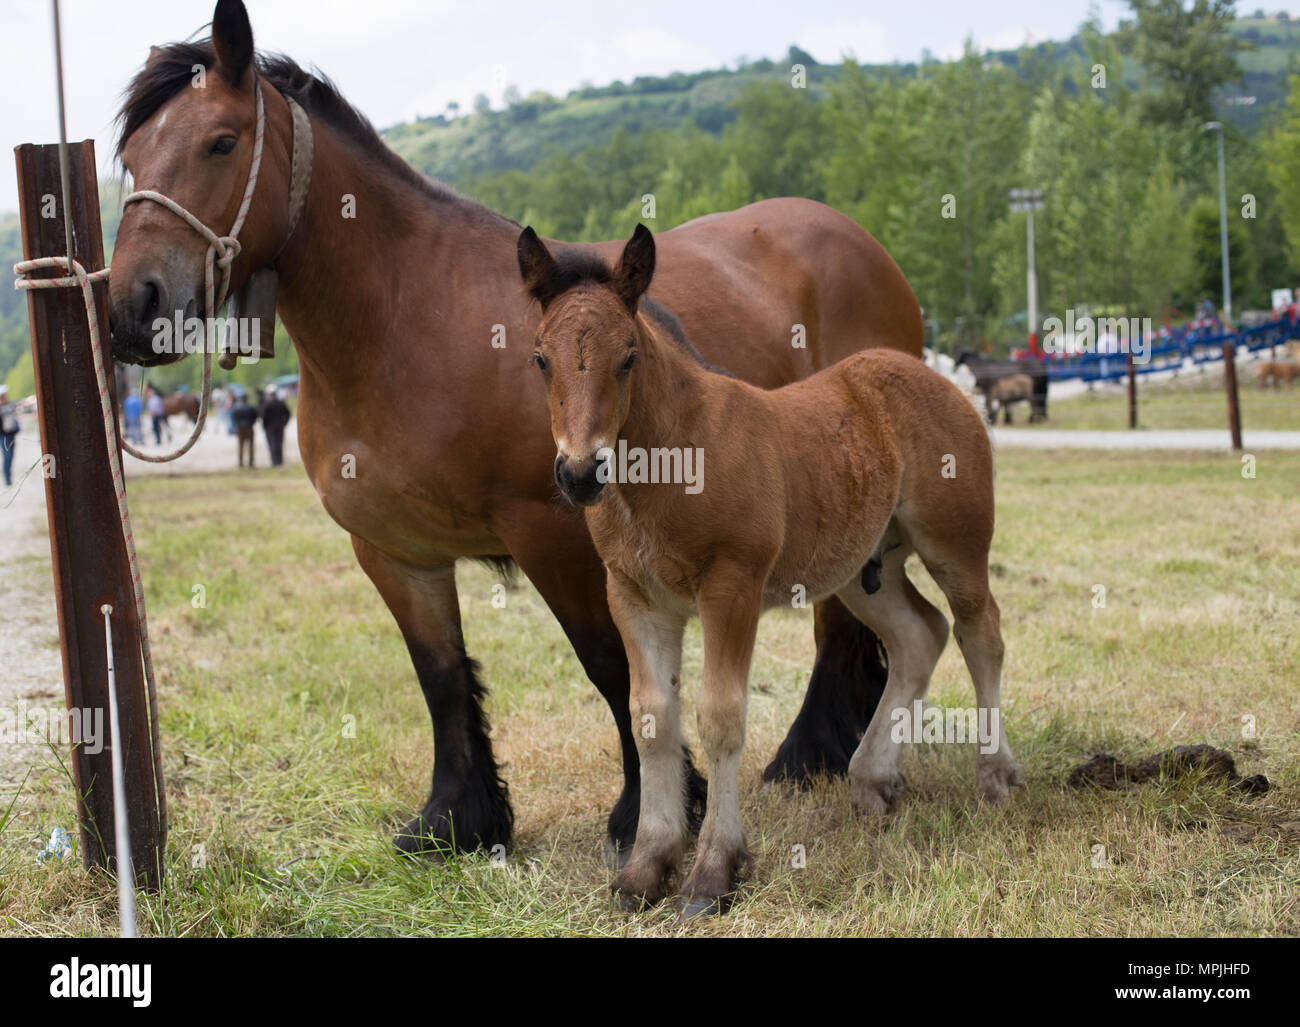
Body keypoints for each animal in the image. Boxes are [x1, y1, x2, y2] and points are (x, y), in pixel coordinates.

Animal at [107, 0, 925, 862]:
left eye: (221, 141)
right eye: (130, 155)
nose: (133, 306)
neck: (407, 317)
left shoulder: (556, 532)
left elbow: (610, 665)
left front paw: (648, 812)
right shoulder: (394, 551)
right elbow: (439, 674)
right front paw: (456, 818)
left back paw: (805, 755)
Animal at [518, 224, 1020, 914]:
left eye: (629, 357)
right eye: (541, 359)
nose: (578, 472)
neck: (671, 462)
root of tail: (943, 380)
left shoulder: (733, 585)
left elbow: (721, 717)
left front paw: (713, 873)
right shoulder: (634, 596)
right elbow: (652, 720)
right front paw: (646, 869)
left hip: (954, 542)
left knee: (979, 632)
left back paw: (995, 777)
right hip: (862, 566)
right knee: (921, 634)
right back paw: (872, 781)